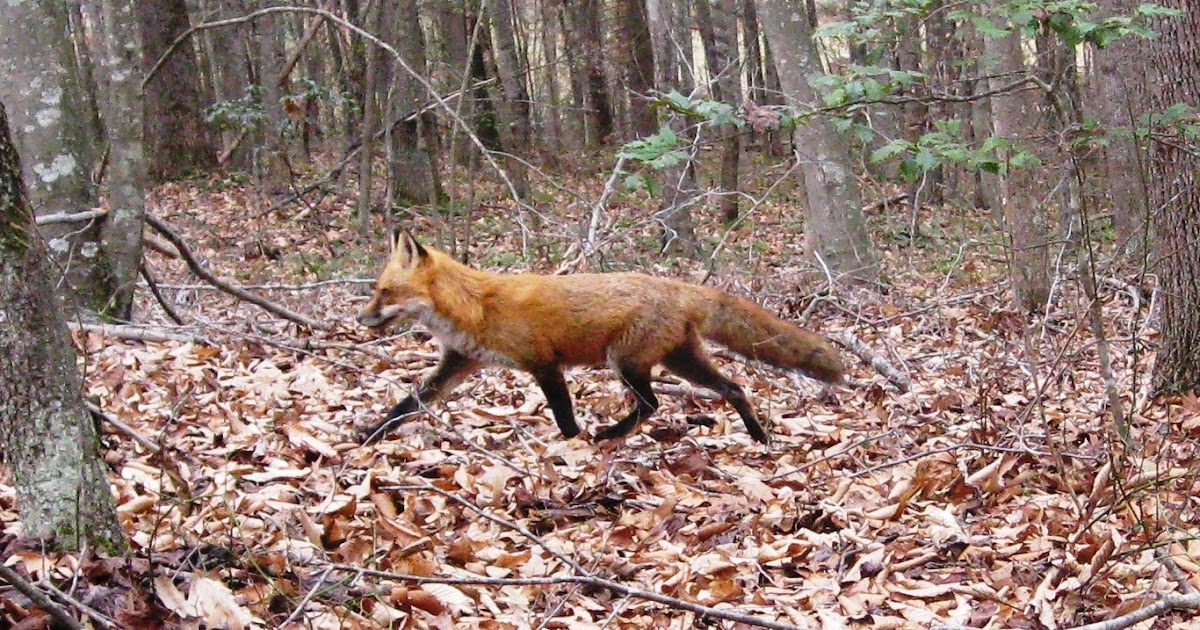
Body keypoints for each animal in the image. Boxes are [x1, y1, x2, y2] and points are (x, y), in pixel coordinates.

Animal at [356, 229, 845, 446]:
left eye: (384, 292)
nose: (362, 319)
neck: (475, 308)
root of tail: (679, 286)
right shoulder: (457, 362)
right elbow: (405, 406)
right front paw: (367, 437)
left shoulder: (544, 364)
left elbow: (563, 416)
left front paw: (574, 444)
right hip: (679, 361)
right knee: (734, 387)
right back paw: (759, 437)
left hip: (625, 362)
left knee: (652, 404)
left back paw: (610, 433)